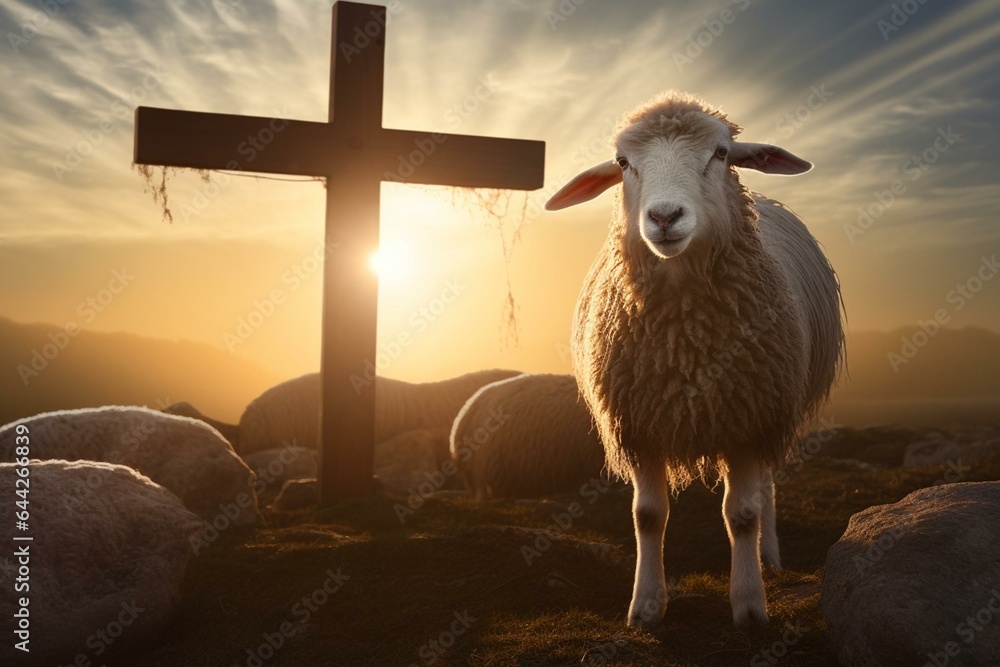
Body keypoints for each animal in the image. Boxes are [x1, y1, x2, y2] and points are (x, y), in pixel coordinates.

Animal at [545, 91, 844, 629]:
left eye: (722, 153)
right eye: (622, 163)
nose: (664, 217)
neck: (685, 341)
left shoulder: (750, 416)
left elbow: (742, 515)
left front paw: (749, 605)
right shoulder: (638, 423)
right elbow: (648, 517)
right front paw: (645, 606)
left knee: (764, 490)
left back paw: (769, 557)